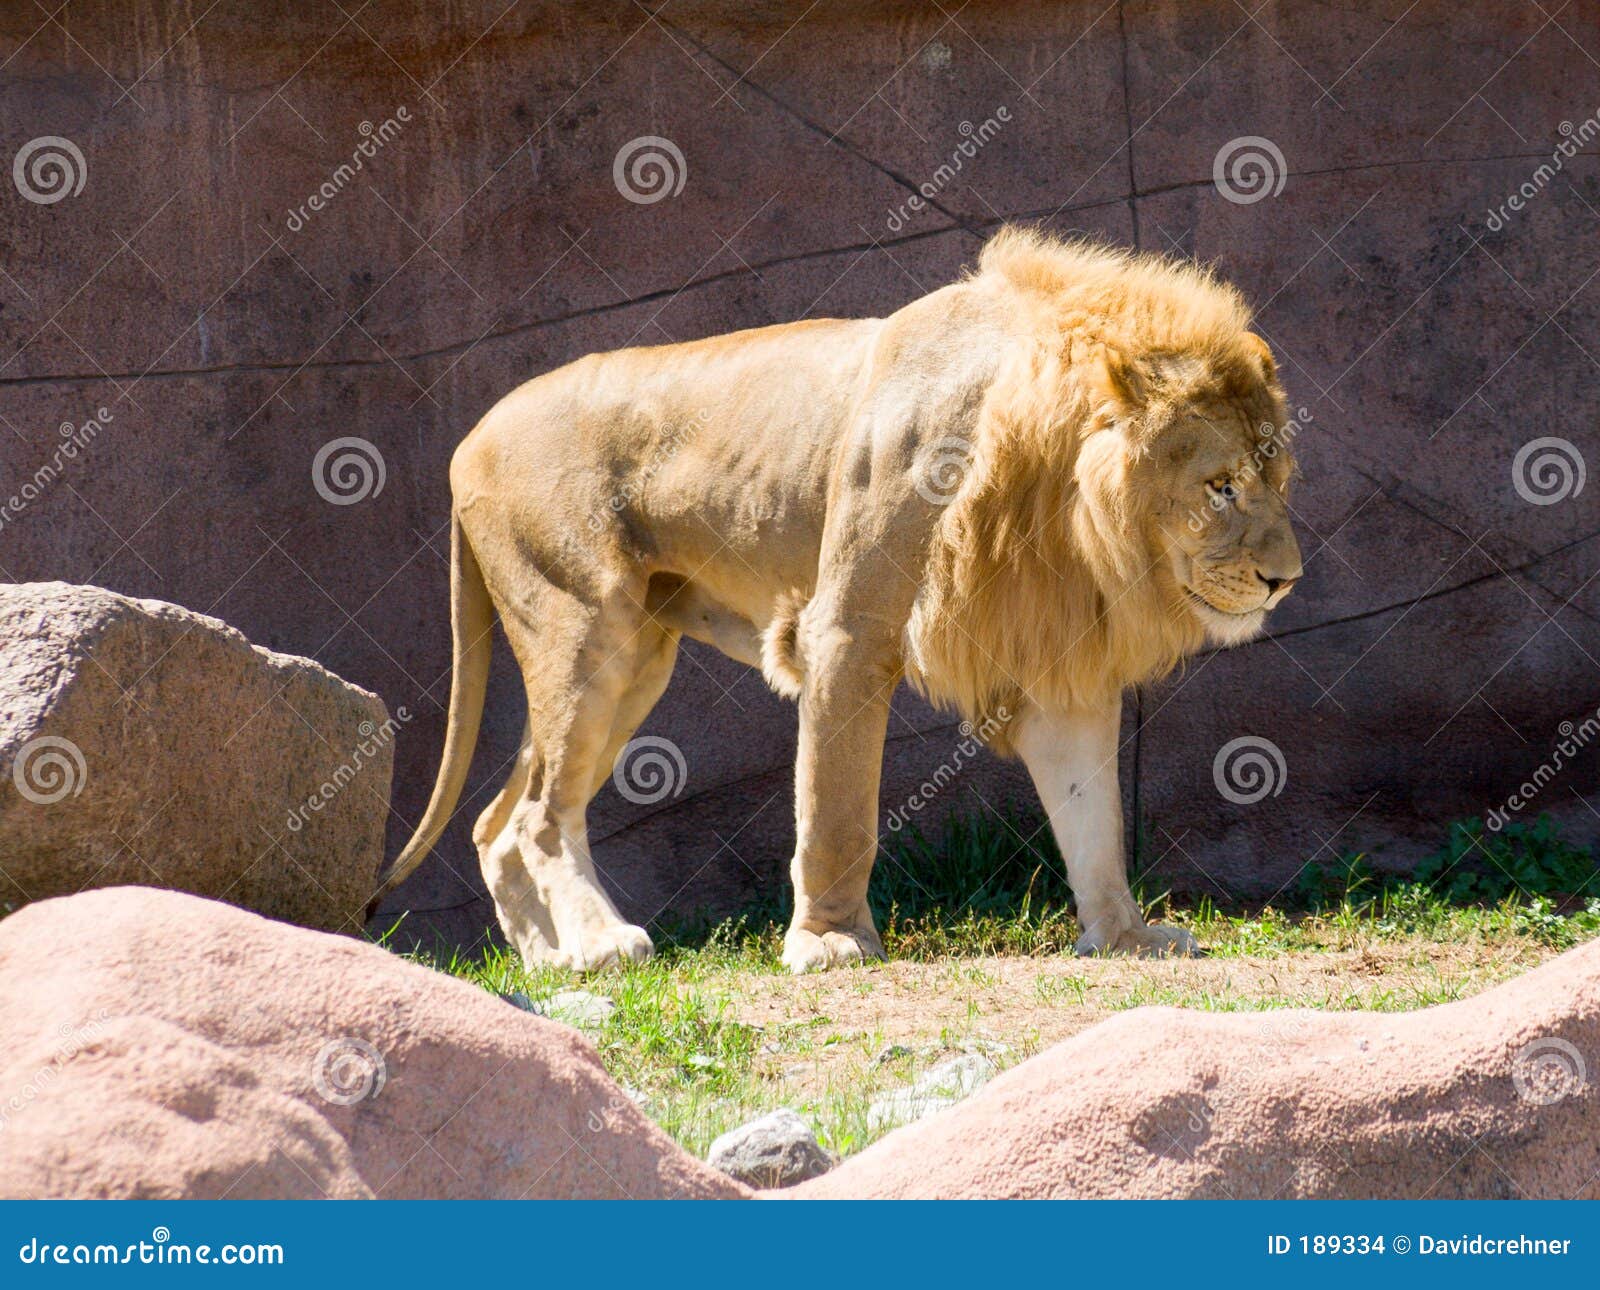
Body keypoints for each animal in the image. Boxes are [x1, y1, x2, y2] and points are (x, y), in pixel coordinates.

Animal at [376, 226, 1304, 973]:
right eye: (1221, 486)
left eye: (1277, 479)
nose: (1285, 578)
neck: (1049, 502)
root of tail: (468, 439)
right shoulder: (847, 630)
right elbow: (837, 805)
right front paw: (828, 940)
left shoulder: (1052, 660)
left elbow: (1094, 820)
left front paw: (1125, 937)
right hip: (583, 629)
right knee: (539, 814)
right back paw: (601, 944)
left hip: (634, 654)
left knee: (497, 825)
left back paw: (548, 963)